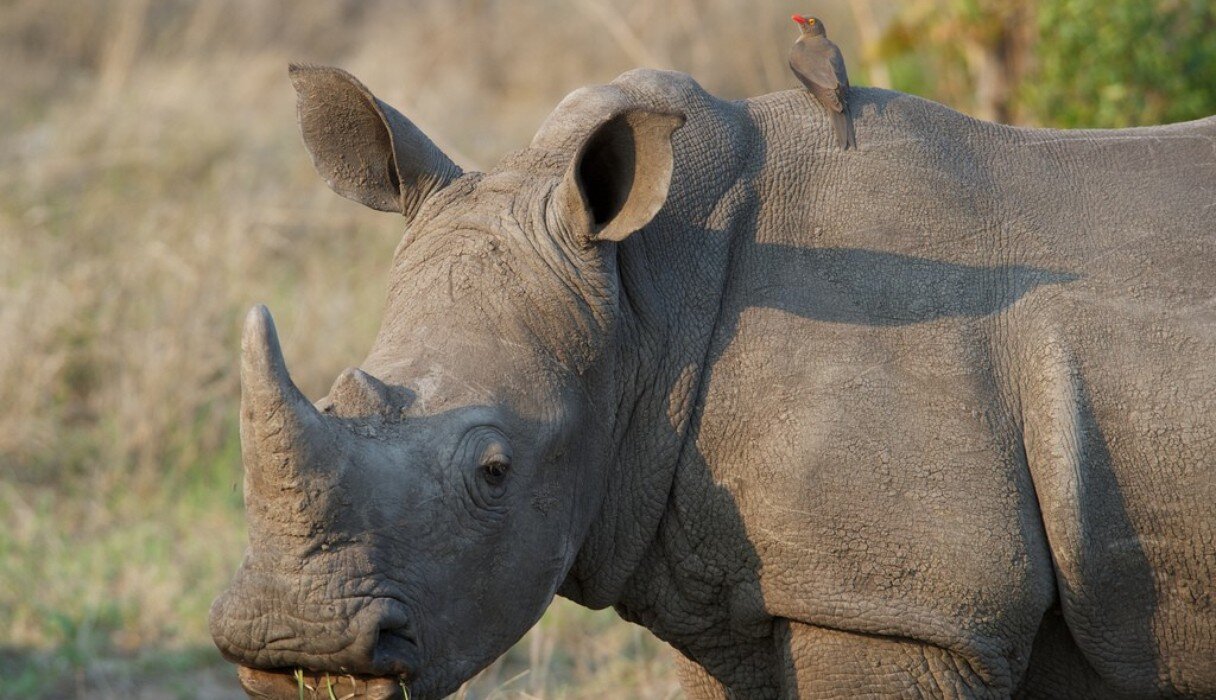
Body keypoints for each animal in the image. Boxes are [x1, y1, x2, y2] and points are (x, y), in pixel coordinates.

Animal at [209, 63, 1216, 698]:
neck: (648, 301)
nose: (287, 641)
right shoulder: (731, 595)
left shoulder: (902, 607)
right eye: (335, 401)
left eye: (495, 471)